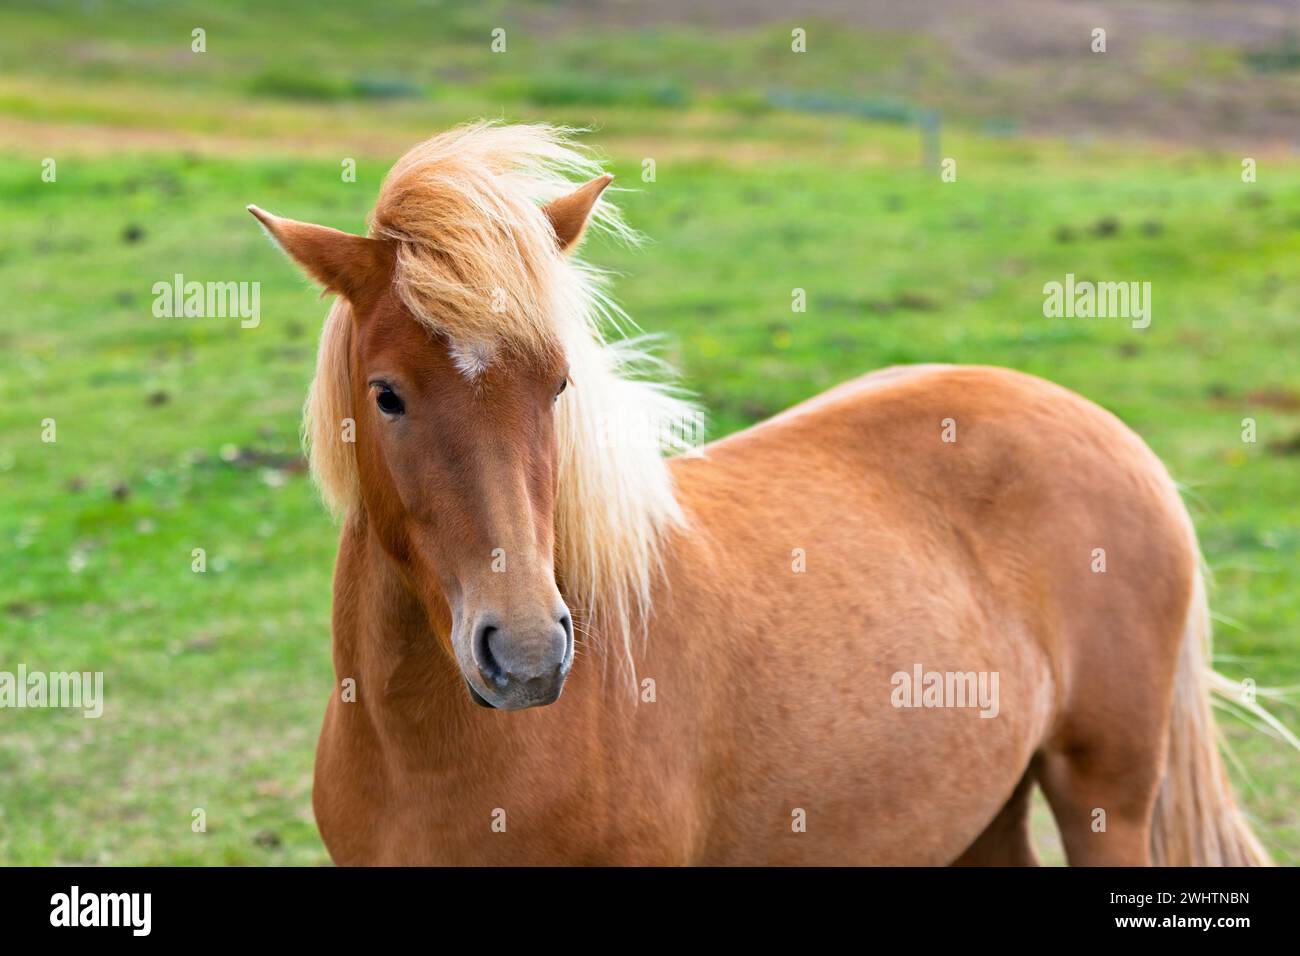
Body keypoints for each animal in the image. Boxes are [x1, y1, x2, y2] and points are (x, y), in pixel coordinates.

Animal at [248, 121, 1273, 865]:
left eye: (559, 384)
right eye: (387, 394)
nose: (530, 654)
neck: (429, 752)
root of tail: (1110, 434)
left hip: (1103, 794)